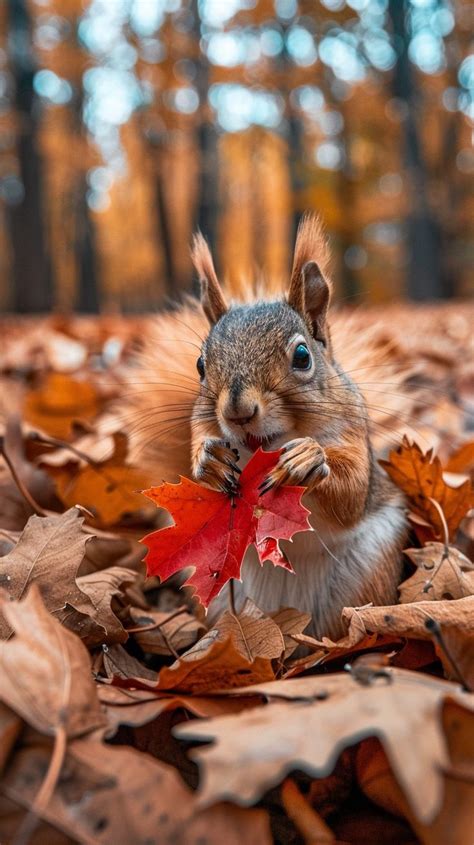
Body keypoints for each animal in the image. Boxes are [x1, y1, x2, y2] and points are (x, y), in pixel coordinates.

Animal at [127, 214, 409, 639]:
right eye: (200, 366)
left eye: (303, 356)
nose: (238, 412)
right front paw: (208, 461)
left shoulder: (354, 434)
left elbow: (351, 494)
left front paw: (308, 459)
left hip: (367, 574)